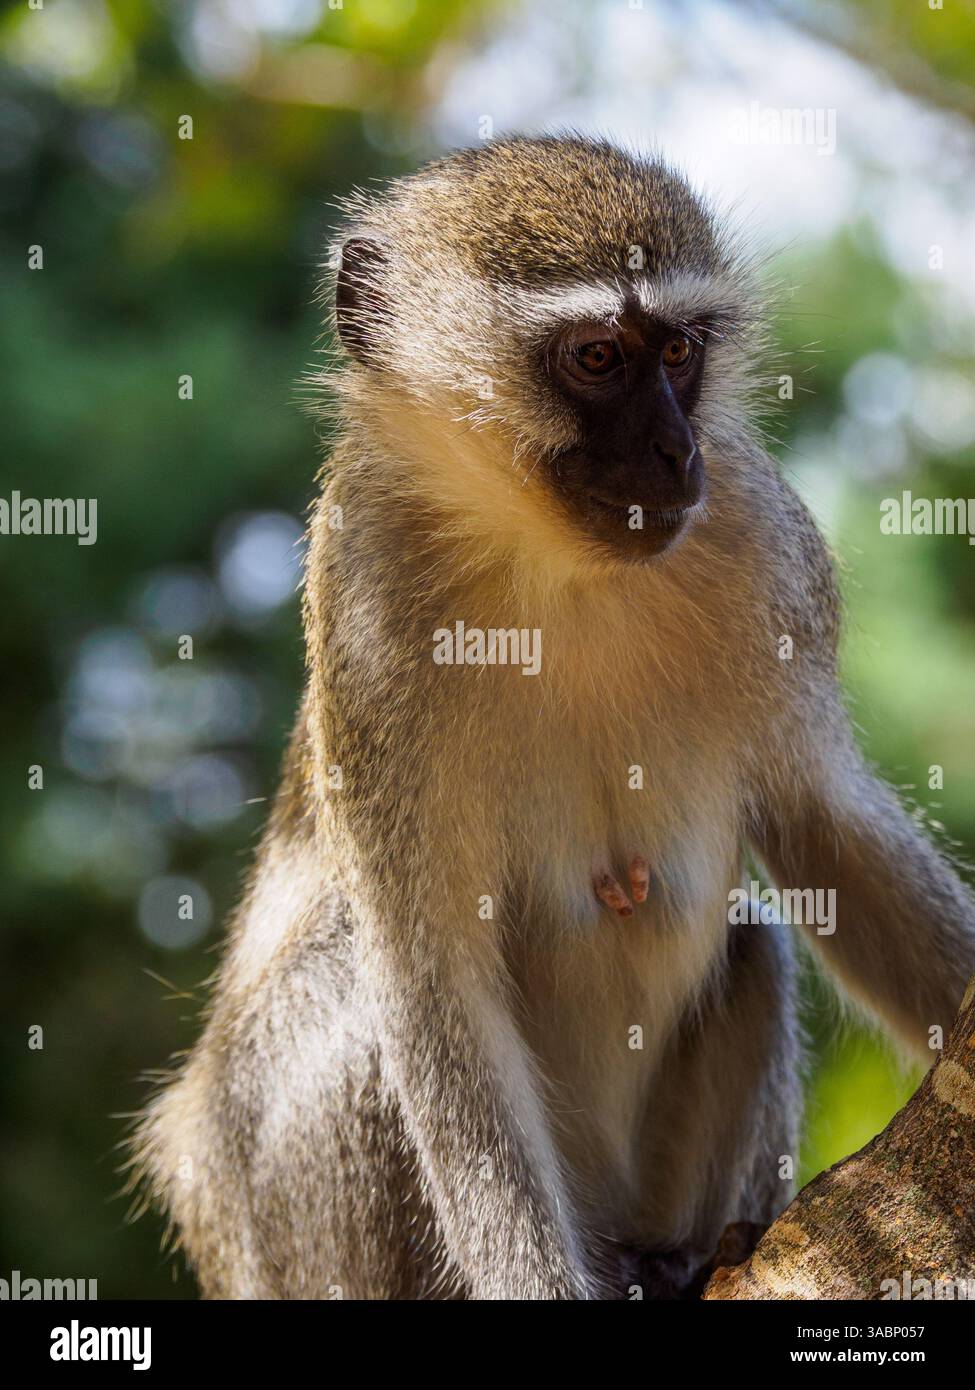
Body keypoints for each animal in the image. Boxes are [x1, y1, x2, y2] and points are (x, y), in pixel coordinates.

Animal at [131, 135, 975, 1300]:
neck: (554, 567)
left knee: (751, 938)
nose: (673, 454)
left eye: (678, 352)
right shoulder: (362, 600)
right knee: (348, 985)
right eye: (597, 357)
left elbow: (830, 831)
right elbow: (431, 991)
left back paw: (682, 1257)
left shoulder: (768, 548)